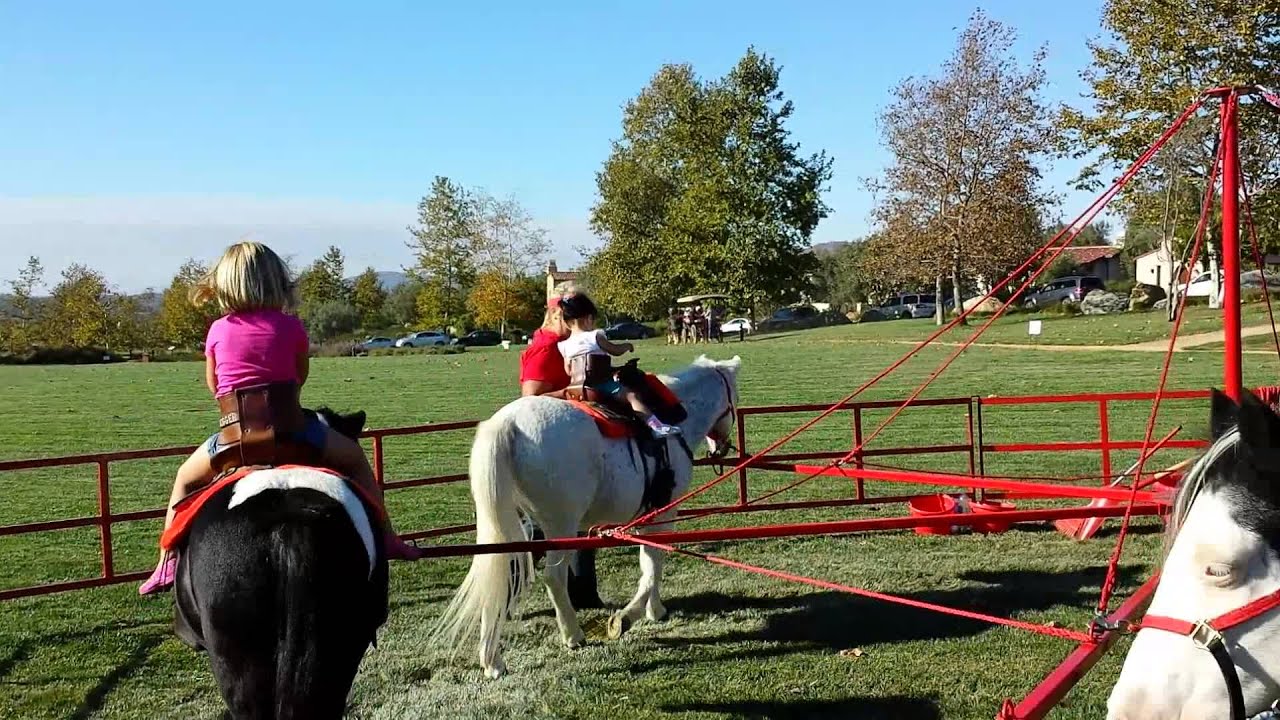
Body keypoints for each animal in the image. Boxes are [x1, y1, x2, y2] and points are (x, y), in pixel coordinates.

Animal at [432, 354, 741, 678]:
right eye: (735, 398)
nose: (721, 447)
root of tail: (508, 423)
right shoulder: (664, 512)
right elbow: (653, 564)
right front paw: (633, 616)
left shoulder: (646, 516)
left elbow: (649, 562)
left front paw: (652, 609)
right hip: (560, 526)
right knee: (554, 577)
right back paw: (572, 635)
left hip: (513, 527)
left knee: (505, 575)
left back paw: (492, 660)